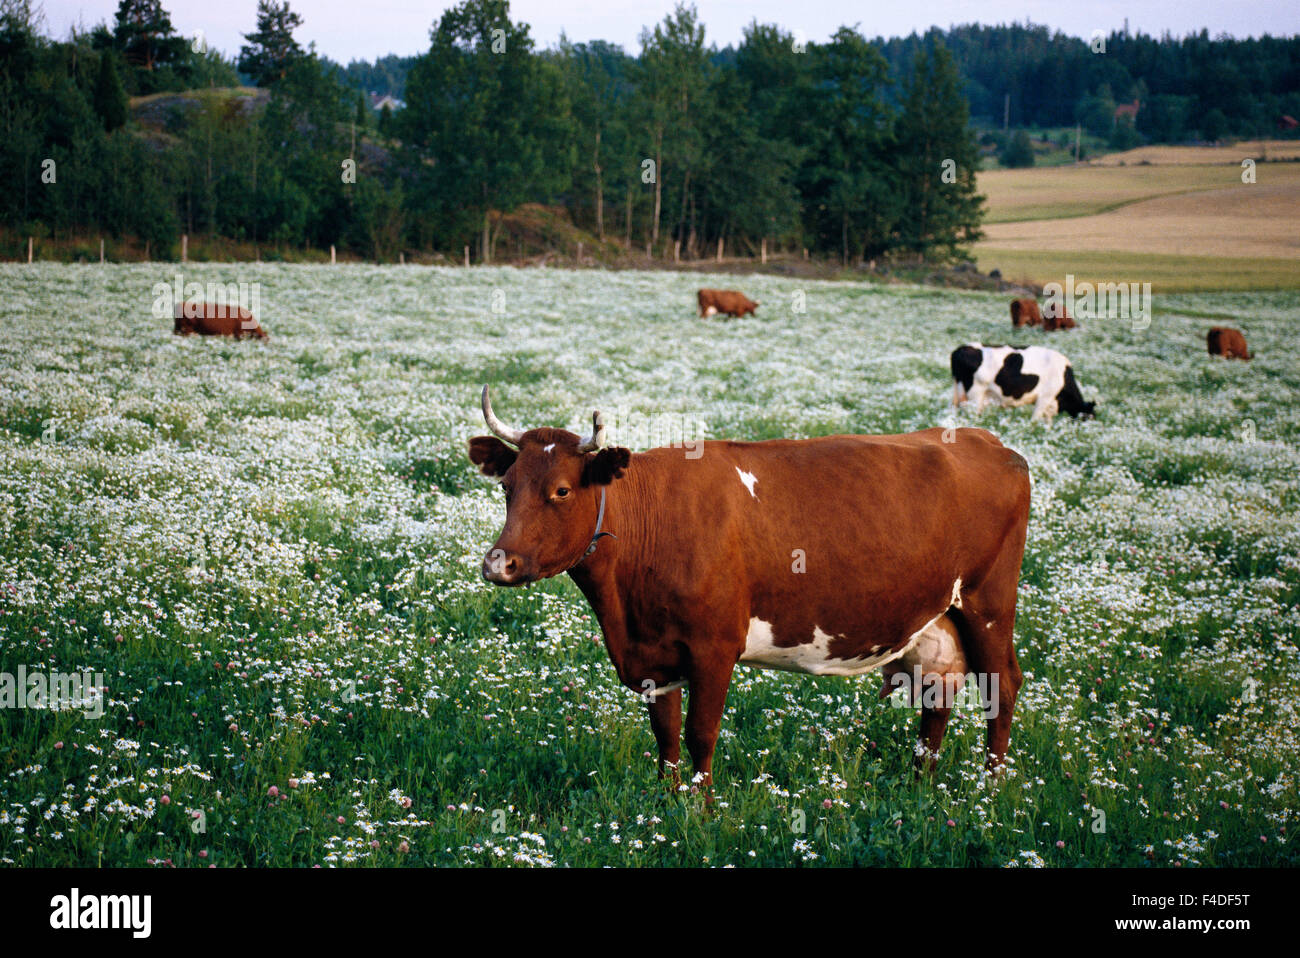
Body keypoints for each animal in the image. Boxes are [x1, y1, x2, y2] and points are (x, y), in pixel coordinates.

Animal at [468, 385, 1031, 794]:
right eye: (506, 486)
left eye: (561, 490)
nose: (498, 563)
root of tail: (989, 442)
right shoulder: (654, 656)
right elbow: (666, 737)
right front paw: (665, 809)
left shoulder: (714, 647)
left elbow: (700, 734)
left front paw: (701, 813)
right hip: (936, 620)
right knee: (938, 693)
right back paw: (920, 789)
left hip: (987, 604)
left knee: (1002, 686)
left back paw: (990, 790)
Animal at [951, 343, 1095, 424]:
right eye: (1087, 417)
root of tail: (962, 348)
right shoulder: (1044, 398)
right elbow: (1035, 420)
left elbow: (1048, 422)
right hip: (975, 393)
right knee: (972, 414)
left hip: (960, 392)